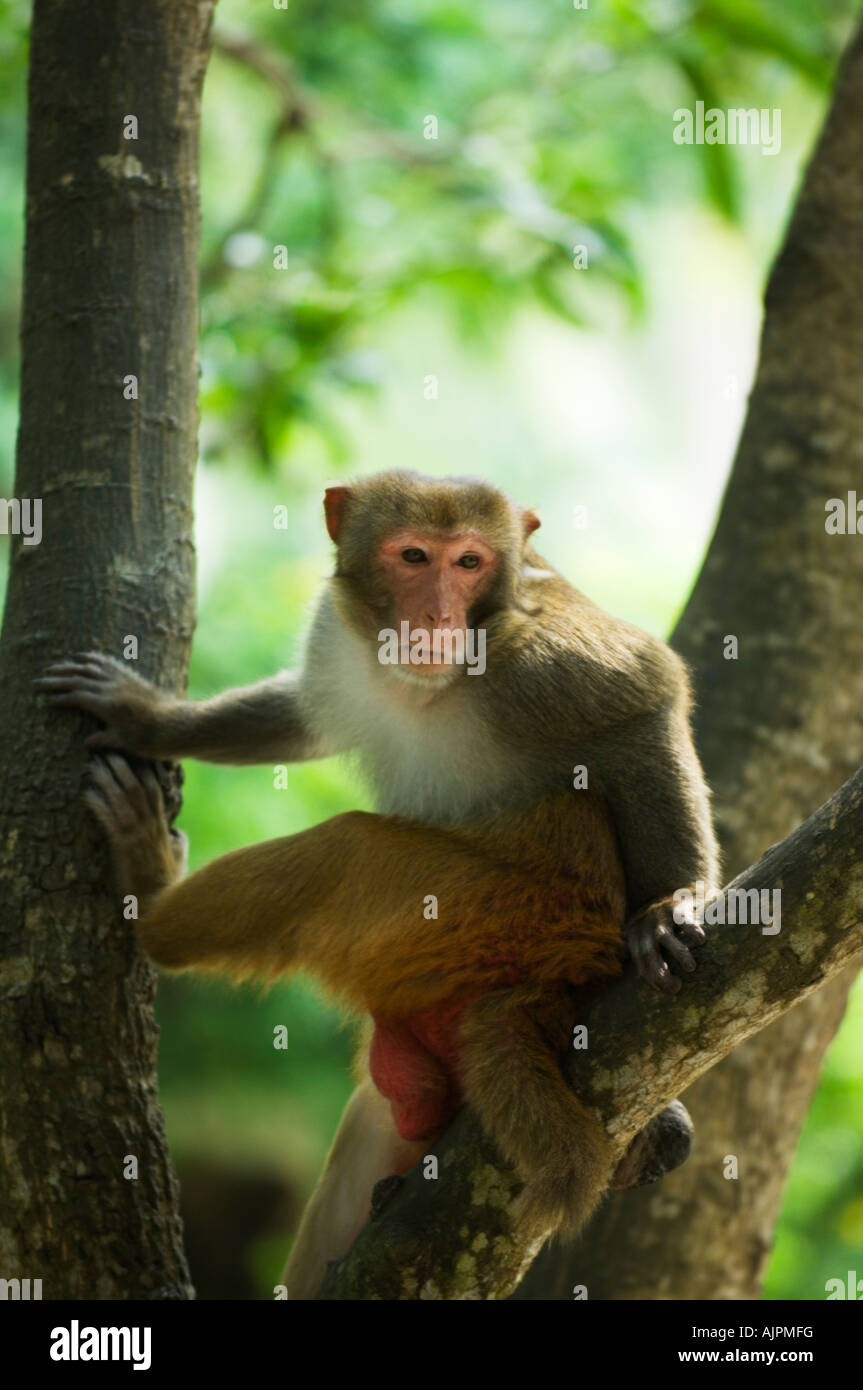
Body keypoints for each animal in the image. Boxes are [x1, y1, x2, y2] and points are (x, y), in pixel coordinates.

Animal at [38, 468, 719, 1299]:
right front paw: (152, 718)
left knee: (345, 851)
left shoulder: (544, 661)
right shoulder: (339, 634)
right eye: (412, 556)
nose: (437, 615)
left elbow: (643, 699)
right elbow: (301, 717)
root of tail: (555, 983)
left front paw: (670, 904)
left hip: (496, 912)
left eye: (469, 563)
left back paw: (151, 892)